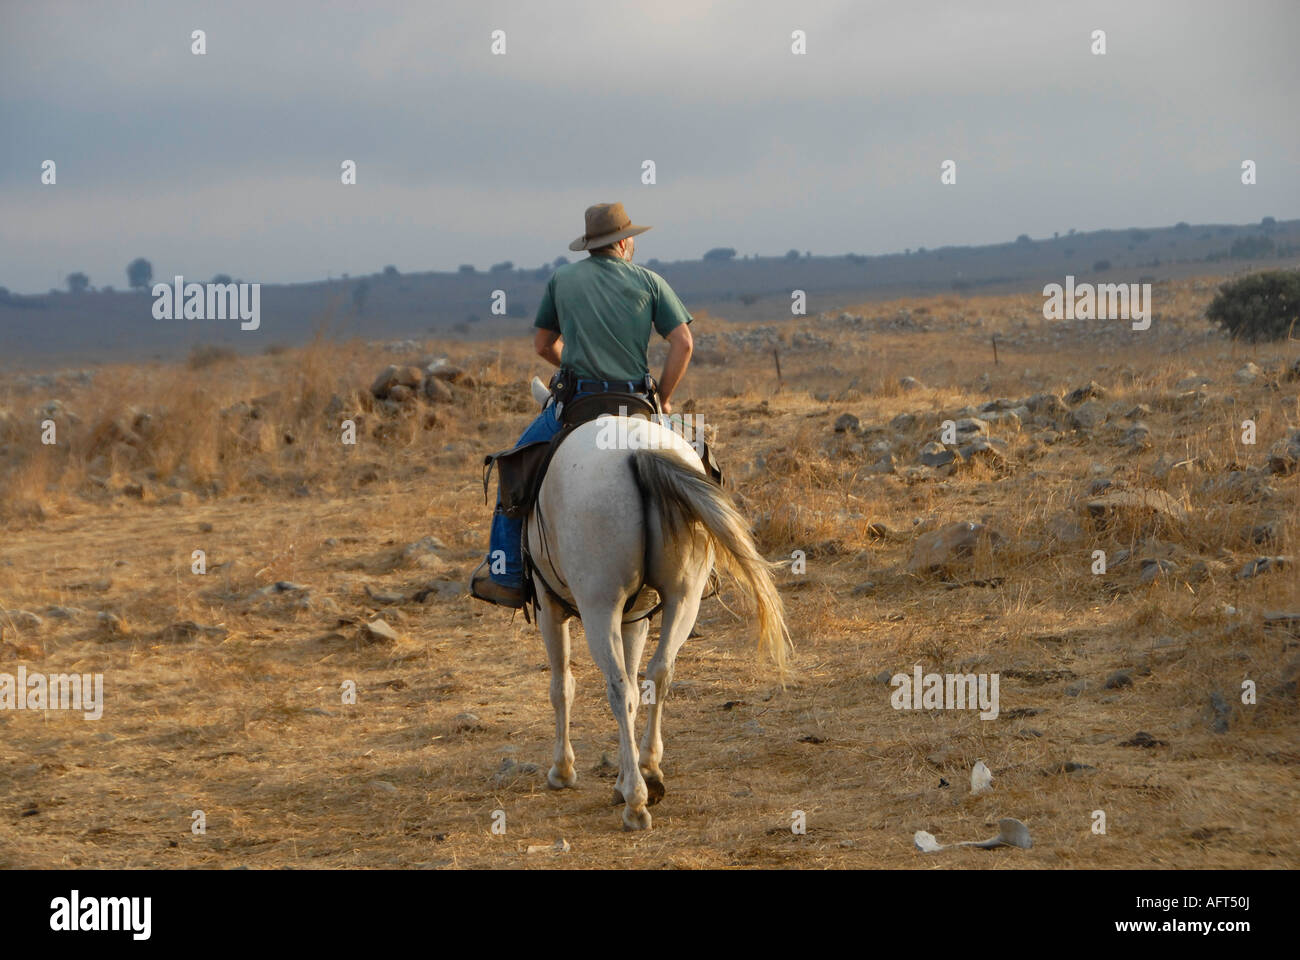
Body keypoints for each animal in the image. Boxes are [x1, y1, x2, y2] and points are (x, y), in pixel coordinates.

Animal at [523, 378, 789, 830]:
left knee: (617, 689)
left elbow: (562, 686)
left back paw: (635, 802)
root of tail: (636, 451)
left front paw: (563, 770)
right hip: (684, 597)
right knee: (659, 673)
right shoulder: (636, 618)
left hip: (598, 606)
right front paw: (622, 774)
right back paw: (647, 769)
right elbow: (635, 678)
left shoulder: (549, 607)